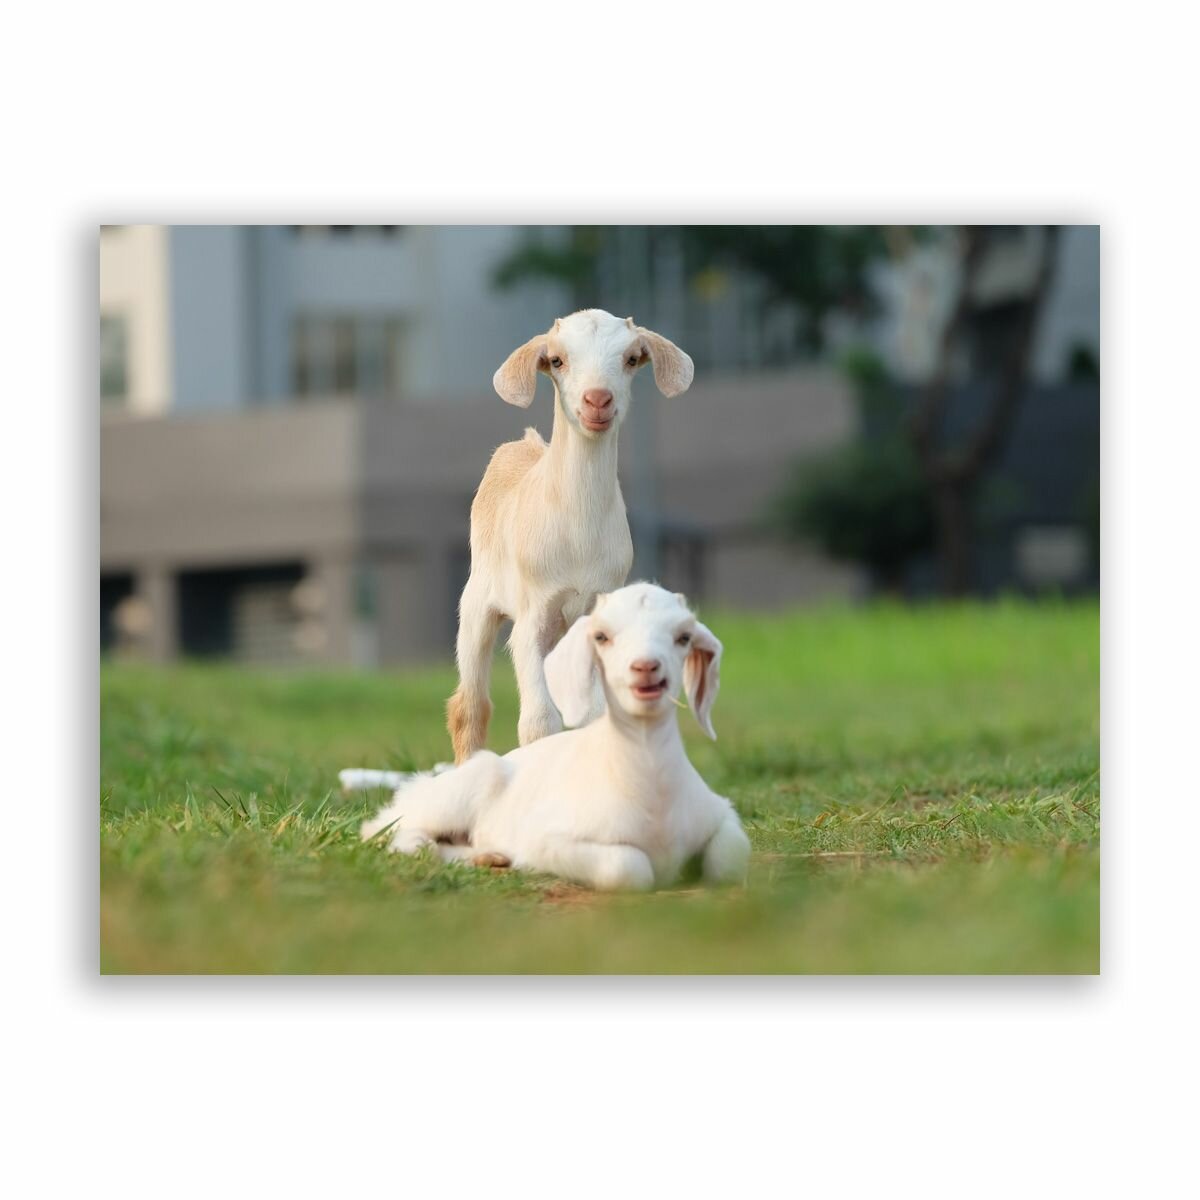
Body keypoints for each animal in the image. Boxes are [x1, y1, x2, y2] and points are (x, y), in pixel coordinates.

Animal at [350, 583, 751, 892]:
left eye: (683, 637)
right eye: (602, 637)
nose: (646, 668)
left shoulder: (721, 813)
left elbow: (730, 857)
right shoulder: (551, 837)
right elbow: (628, 868)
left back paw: (489, 856)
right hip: (453, 794)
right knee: (384, 828)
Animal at [446, 309, 694, 763]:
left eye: (631, 359)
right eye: (558, 360)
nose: (598, 400)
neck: (578, 533)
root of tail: (524, 443)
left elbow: (596, 717)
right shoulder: (533, 615)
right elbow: (538, 722)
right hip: (476, 605)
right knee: (470, 706)